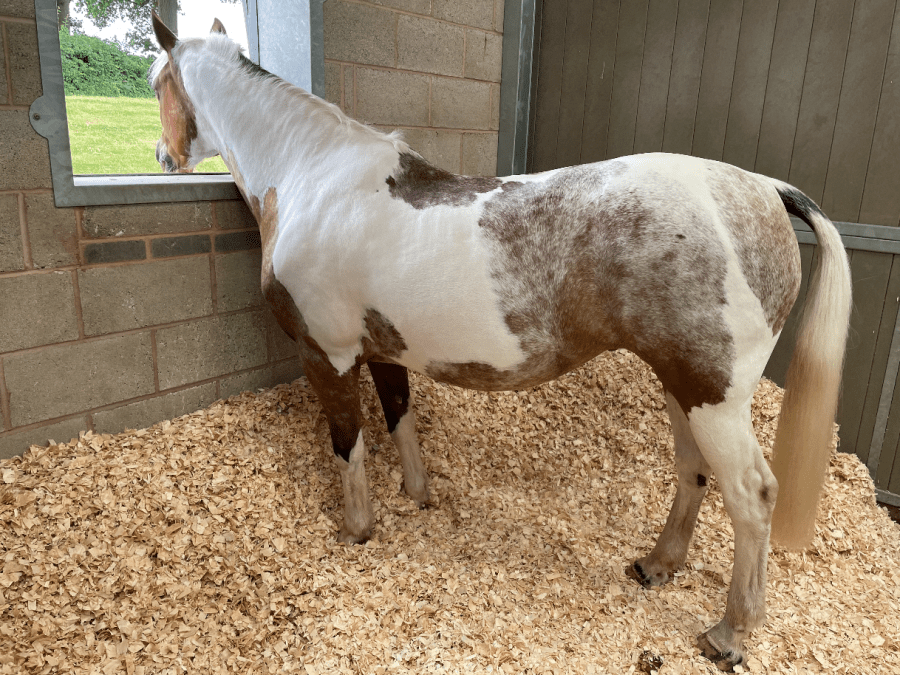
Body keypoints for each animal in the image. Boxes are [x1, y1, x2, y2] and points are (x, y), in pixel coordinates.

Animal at [149, 14, 851, 671]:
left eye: (158, 83)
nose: (160, 155)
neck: (311, 178)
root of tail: (763, 187)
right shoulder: (384, 353)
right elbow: (400, 418)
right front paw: (419, 497)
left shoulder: (328, 356)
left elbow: (347, 445)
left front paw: (358, 531)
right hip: (683, 384)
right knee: (692, 470)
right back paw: (657, 564)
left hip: (714, 395)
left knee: (752, 495)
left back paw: (730, 633)